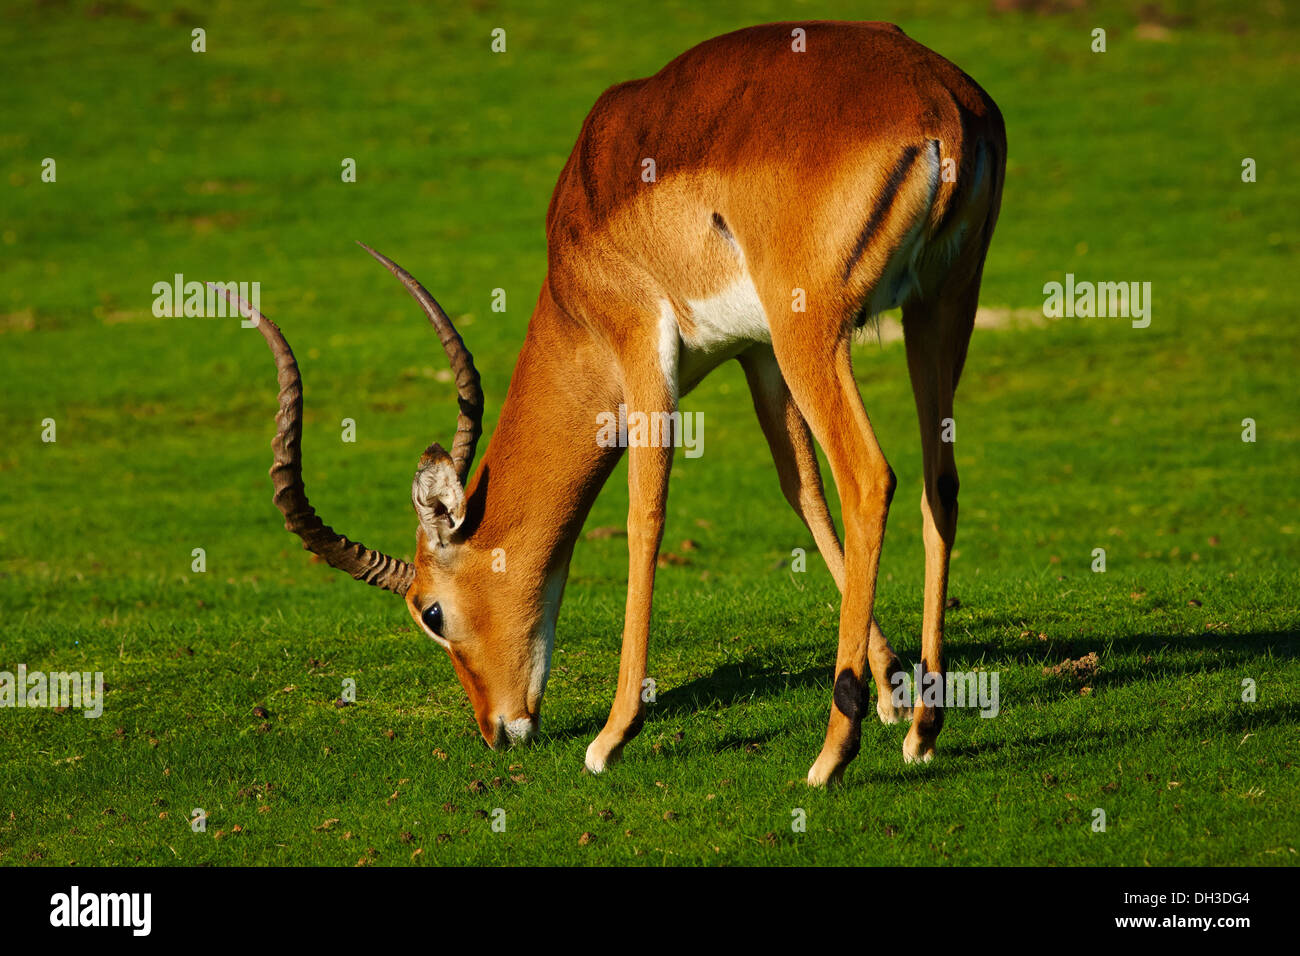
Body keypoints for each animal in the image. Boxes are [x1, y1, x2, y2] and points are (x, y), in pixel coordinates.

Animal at [226, 21, 1005, 786]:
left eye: (432, 613)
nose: (498, 731)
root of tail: (943, 102)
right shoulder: (755, 353)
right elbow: (802, 490)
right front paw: (892, 693)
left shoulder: (641, 349)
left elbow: (644, 517)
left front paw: (611, 736)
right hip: (938, 307)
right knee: (938, 483)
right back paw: (925, 729)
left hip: (814, 329)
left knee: (870, 478)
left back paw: (832, 752)